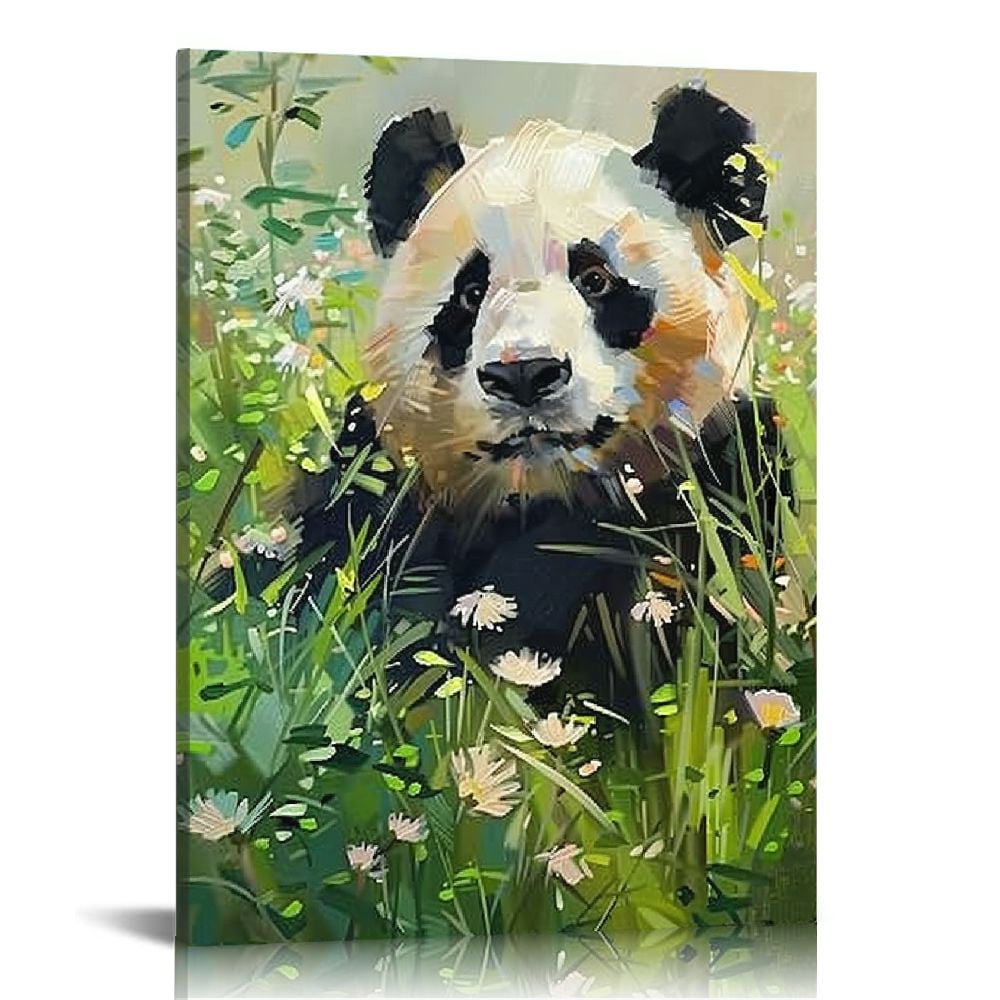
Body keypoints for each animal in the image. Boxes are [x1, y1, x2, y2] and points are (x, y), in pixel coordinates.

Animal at [220, 83, 783, 725]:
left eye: (596, 279)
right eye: (469, 293)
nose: (524, 375)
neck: (535, 490)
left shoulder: (716, 489)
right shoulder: (375, 492)